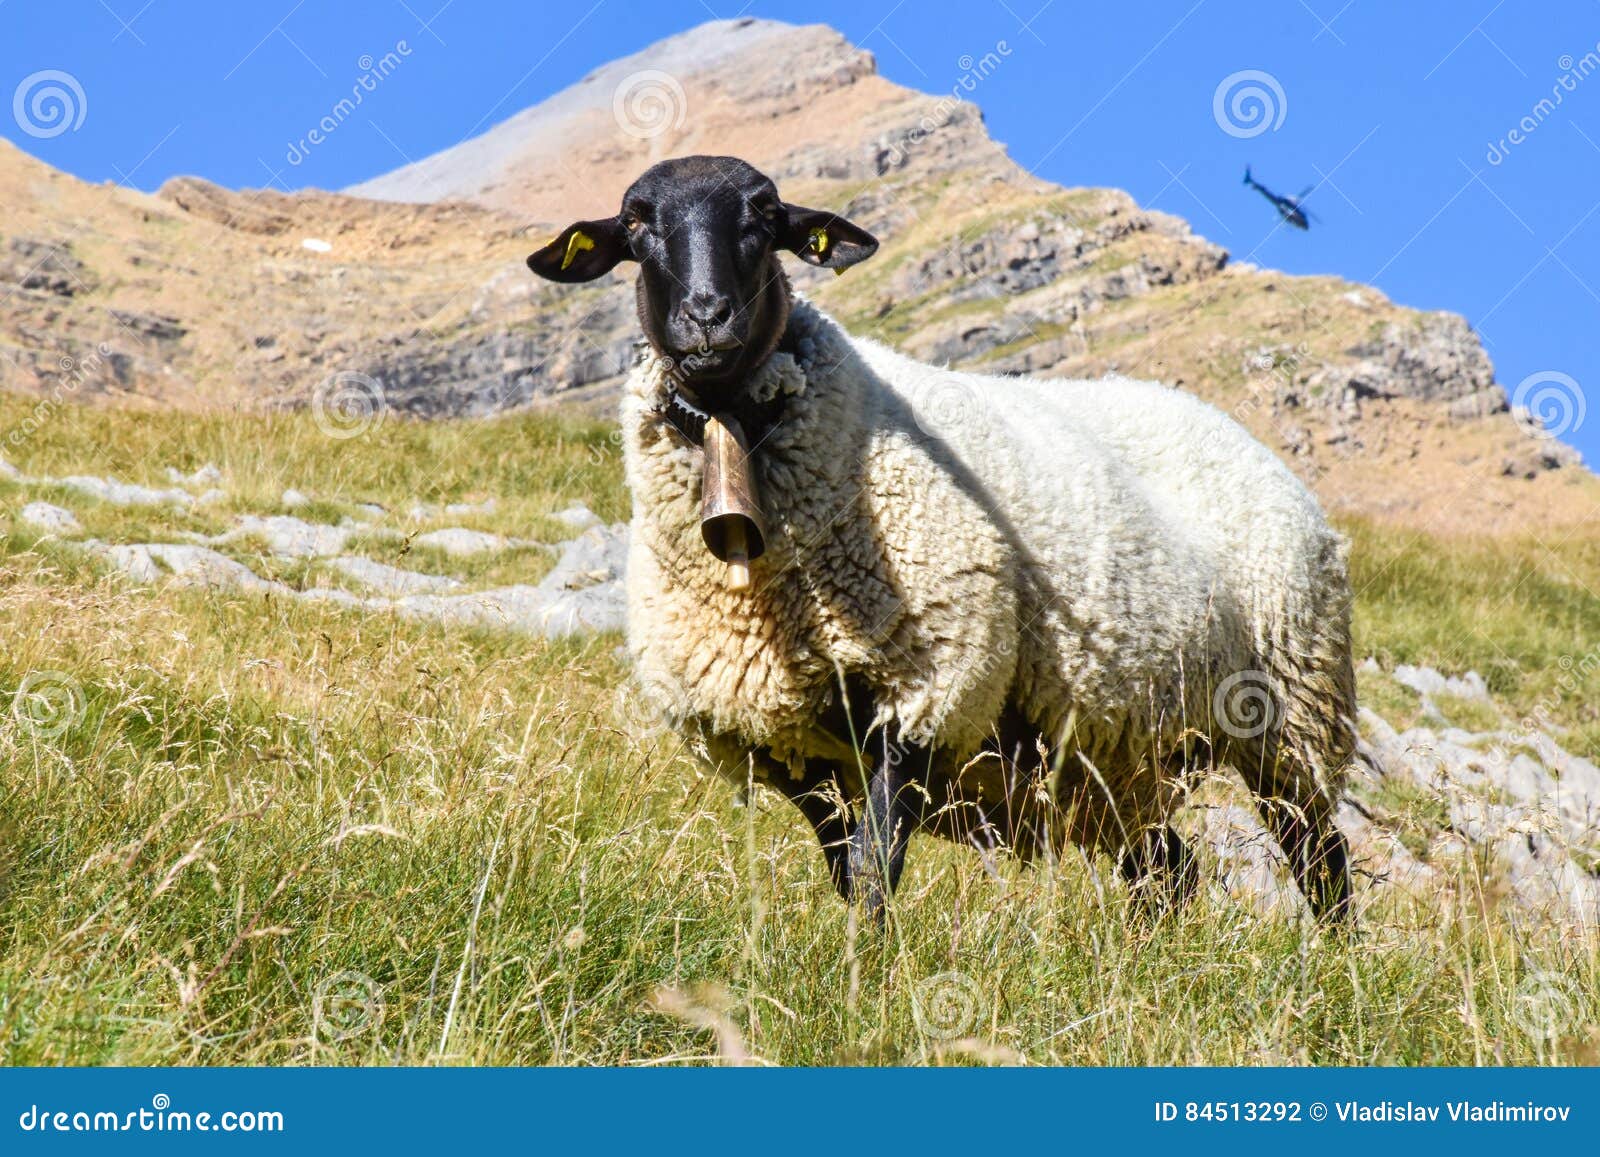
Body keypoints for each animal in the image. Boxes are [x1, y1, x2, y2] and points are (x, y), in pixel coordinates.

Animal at [527, 155, 1356, 922]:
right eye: (635, 221)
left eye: (765, 214)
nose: (708, 315)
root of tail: (1233, 429)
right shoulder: (783, 744)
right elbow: (844, 865)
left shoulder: (926, 690)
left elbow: (872, 865)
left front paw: (866, 970)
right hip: (1115, 757)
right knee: (1168, 869)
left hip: (1293, 707)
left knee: (1322, 859)